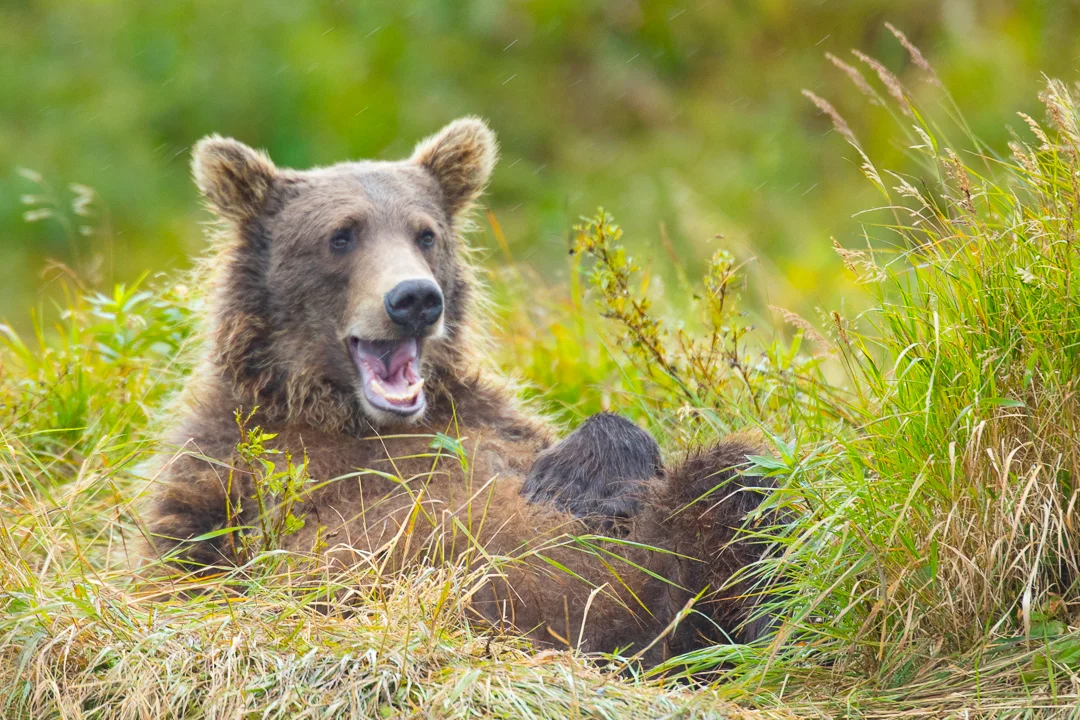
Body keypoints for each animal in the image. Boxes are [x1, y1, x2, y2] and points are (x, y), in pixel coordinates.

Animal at [143, 117, 779, 667]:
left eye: (425, 234)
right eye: (340, 235)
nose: (415, 299)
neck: (348, 415)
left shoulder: (489, 420)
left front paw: (577, 472)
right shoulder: (218, 467)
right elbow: (180, 574)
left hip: (666, 548)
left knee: (739, 480)